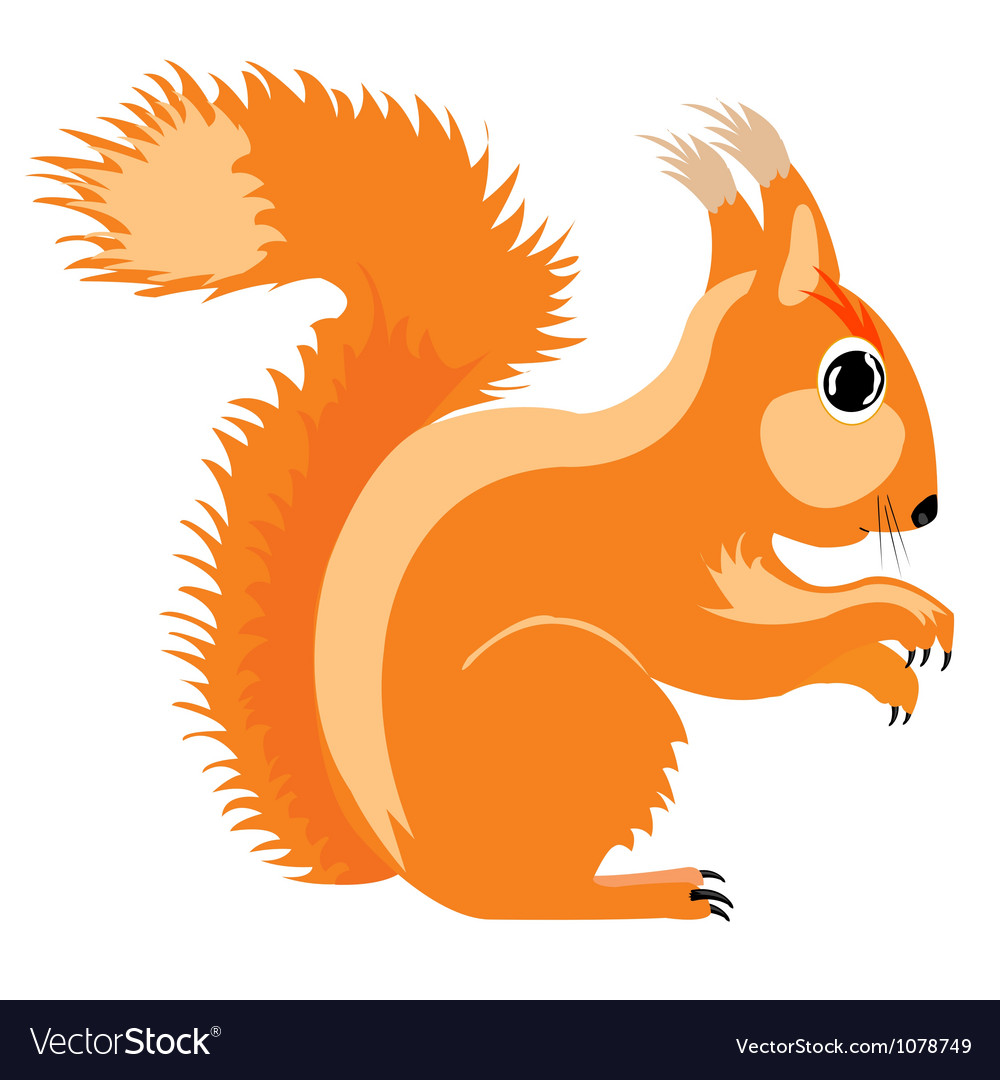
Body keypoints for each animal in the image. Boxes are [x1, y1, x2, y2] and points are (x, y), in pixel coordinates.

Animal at [38, 63, 953, 921]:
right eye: (853, 381)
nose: (928, 509)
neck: (697, 464)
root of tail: (409, 862)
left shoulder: (747, 564)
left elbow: (798, 608)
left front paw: (911, 615)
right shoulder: (659, 578)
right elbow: (742, 656)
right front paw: (882, 649)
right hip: (581, 695)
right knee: (522, 895)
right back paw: (654, 892)